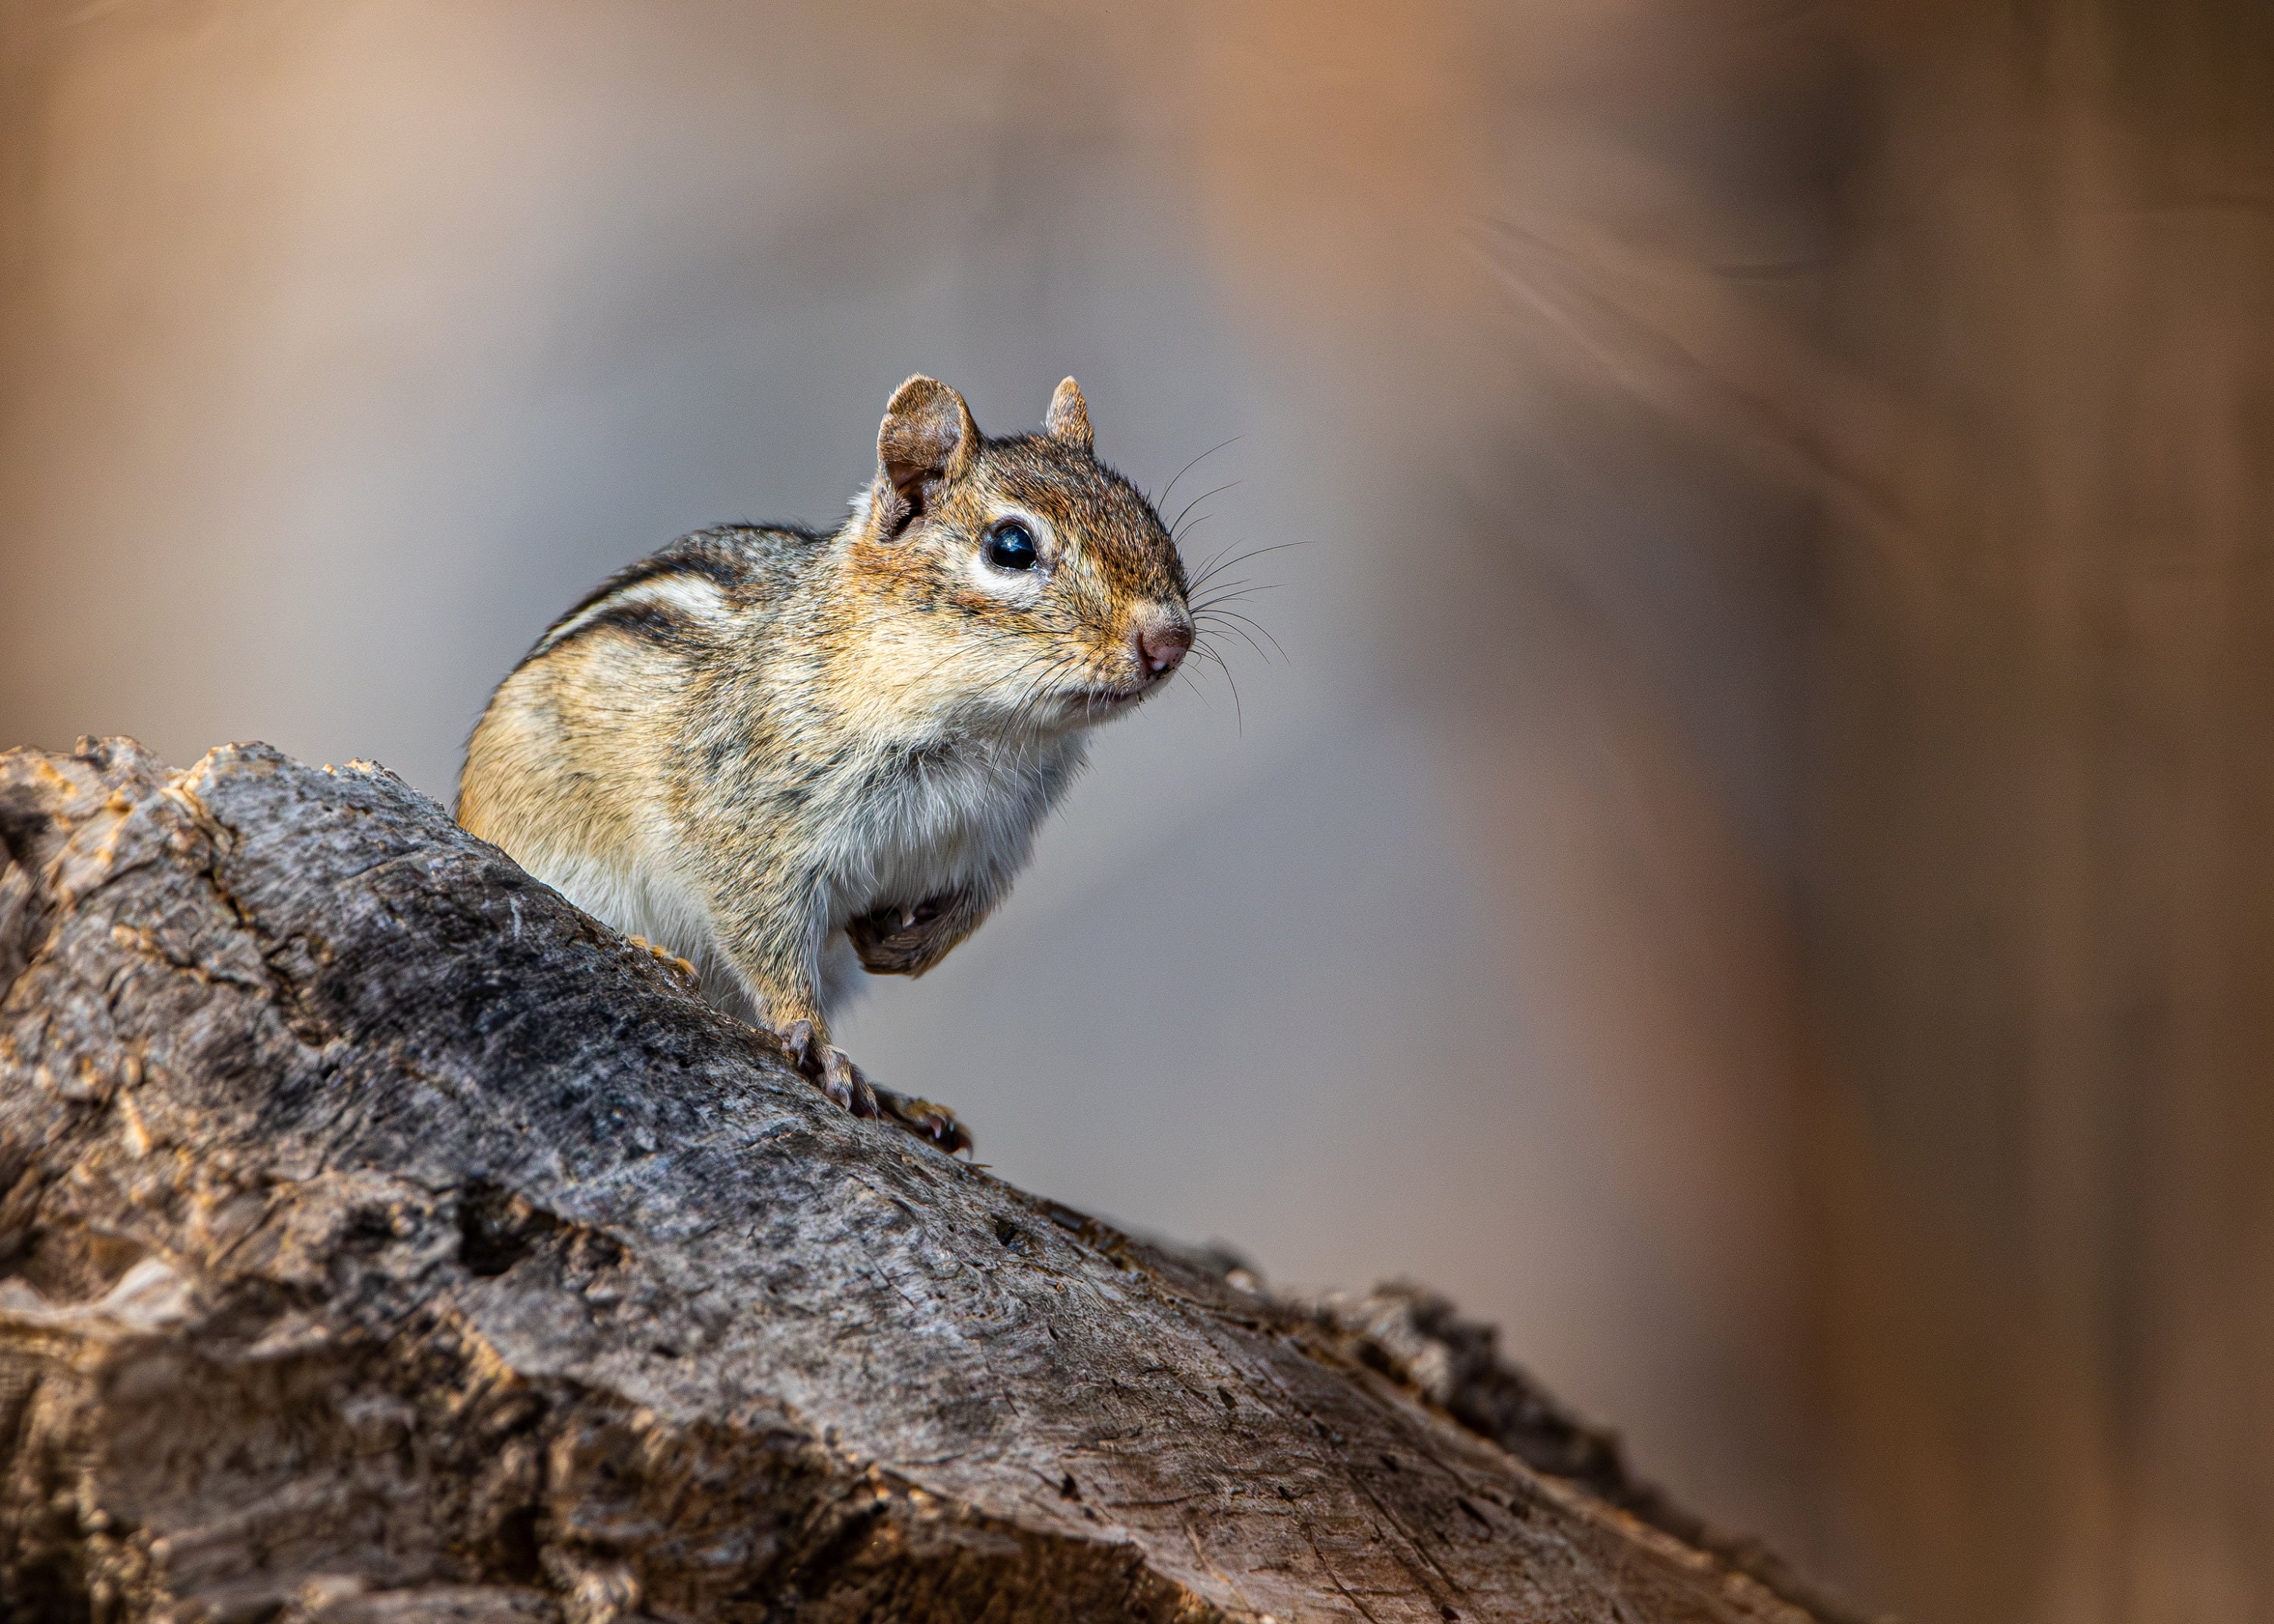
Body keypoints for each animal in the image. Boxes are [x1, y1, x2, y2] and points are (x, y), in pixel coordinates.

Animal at [456, 375, 1194, 1154]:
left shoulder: (996, 841)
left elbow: (974, 906)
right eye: (1013, 545)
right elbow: (766, 939)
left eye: (1145, 512)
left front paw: (908, 950)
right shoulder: (751, 824)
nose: (1171, 640)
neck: (989, 732)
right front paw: (814, 1039)